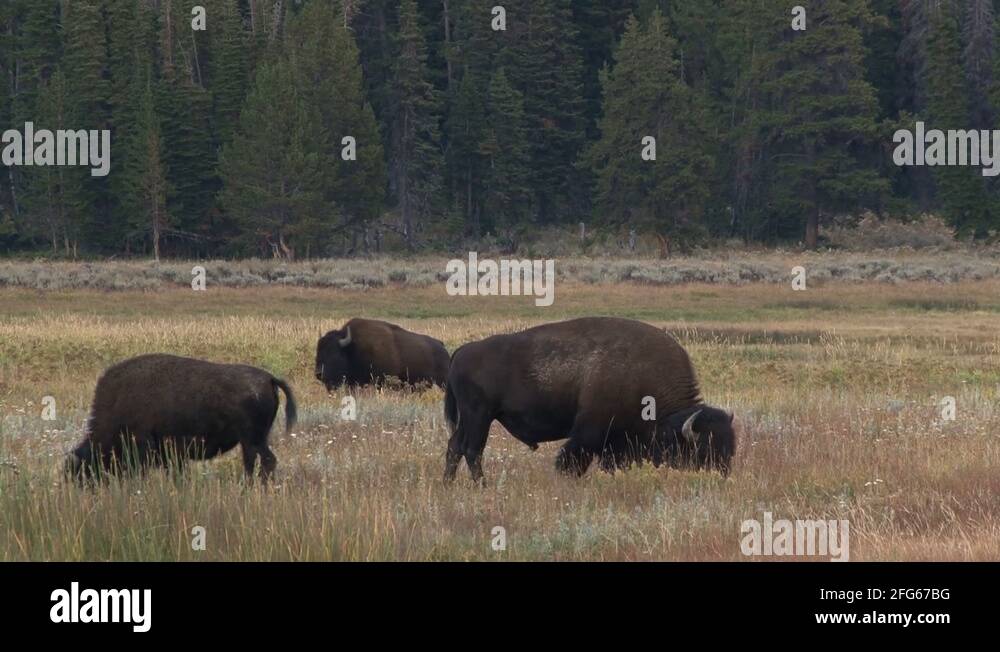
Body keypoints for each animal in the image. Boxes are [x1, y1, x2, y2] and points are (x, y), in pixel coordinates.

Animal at [67, 354, 296, 482]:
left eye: (85, 470)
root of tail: (269, 378)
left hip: (252, 440)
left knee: (262, 462)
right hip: (254, 440)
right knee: (258, 462)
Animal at [443, 317, 735, 482]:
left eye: (730, 448)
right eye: (703, 451)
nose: (723, 476)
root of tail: (461, 353)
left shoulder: (617, 441)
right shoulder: (590, 432)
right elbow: (571, 460)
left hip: (471, 419)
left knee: (455, 446)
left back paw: (449, 485)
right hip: (479, 416)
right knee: (472, 450)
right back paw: (482, 486)